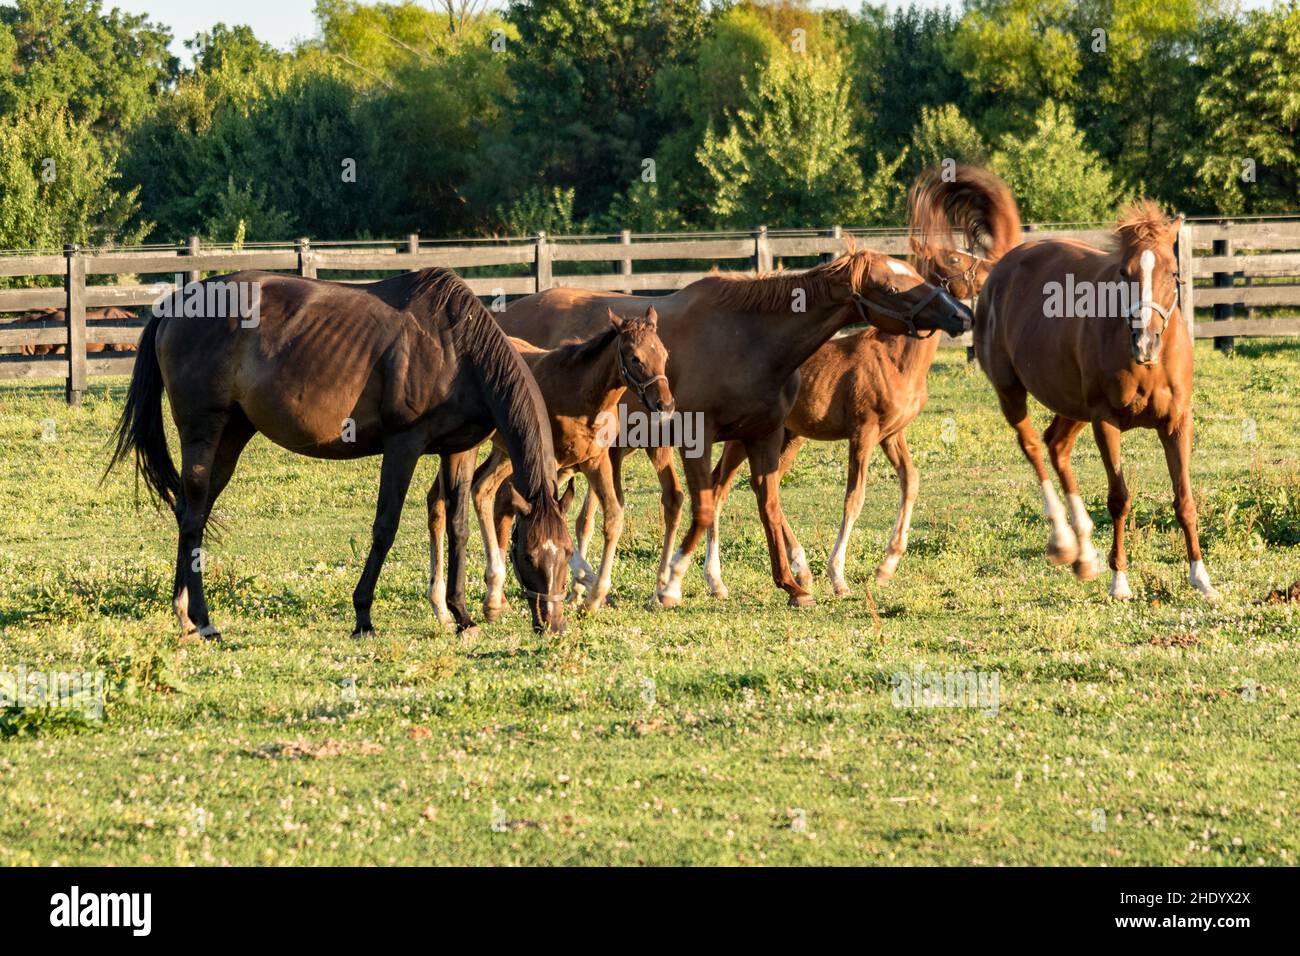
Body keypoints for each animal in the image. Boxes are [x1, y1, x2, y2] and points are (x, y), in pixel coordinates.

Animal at [107, 267, 575, 640]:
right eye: (528, 555)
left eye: (569, 552)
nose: (553, 625)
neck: (458, 349)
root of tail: (176, 305)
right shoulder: (403, 445)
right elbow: (385, 527)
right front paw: (363, 616)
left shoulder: (459, 451)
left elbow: (457, 528)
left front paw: (461, 616)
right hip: (203, 433)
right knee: (191, 517)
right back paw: (204, 622)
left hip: (231, 436)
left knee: (193, 512)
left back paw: (184, 614)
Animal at [427, 306, 674, 622]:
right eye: (635, 358)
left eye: (664, 354)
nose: (665, 404)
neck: (581, 393)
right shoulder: (552, 462)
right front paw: (580, 585)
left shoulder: (595, 461)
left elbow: (613, 516)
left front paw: (594, 598)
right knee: (442, 500)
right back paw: (448, 604)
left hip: (504, 453)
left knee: (481, 489)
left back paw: (490, 596)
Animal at [495, 247, 971, 609]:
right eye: (892, 287)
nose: (961, 315)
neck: (750, 338)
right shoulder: (698, 438)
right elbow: (705, 506)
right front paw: (672, 583)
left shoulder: (763, 436)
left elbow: (768, 506)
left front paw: (792, 584)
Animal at [701, 171, 1020, 598]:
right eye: (954, 258)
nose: (963, 316)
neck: (895, 359)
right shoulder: (863, 432)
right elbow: (855, 496)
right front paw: (839, 574)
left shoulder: (892, 434)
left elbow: (911, 482)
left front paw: (887, 566)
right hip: (748, 437)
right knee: (721, 487)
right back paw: (718, 578)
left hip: (791, 437)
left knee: (767, 487)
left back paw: (798, 569)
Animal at [918, 168, 1219, 602]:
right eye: (1124, 273)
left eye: (1173, 274)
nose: (1145, 343)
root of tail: (1006, 261)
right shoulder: (1105, 421)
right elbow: (1119, 498)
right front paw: (1120, 581)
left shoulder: (1177, 421)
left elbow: (1185, 499)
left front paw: (1201, 578)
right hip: (1013, 393)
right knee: (1032, 445)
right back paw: (1065, 541)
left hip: (1073, 407)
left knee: (1056, 445)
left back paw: (1085, 553)